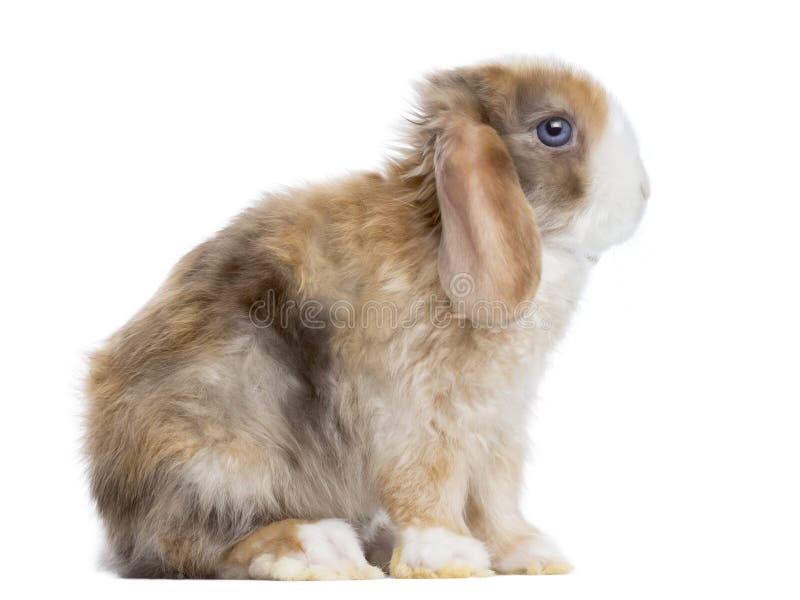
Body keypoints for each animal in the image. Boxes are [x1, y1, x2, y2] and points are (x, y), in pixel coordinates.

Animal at [85, 58, 649, 580]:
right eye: (555, 129)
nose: (644, 192)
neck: (436, 231)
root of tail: (119, 521)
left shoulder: (497, 422)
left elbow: (496, 495)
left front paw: (529, 555)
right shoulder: (413, 413)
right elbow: (428, 483)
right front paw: (450, 557)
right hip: (221, 447)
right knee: (203, 544)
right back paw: (321, 549)